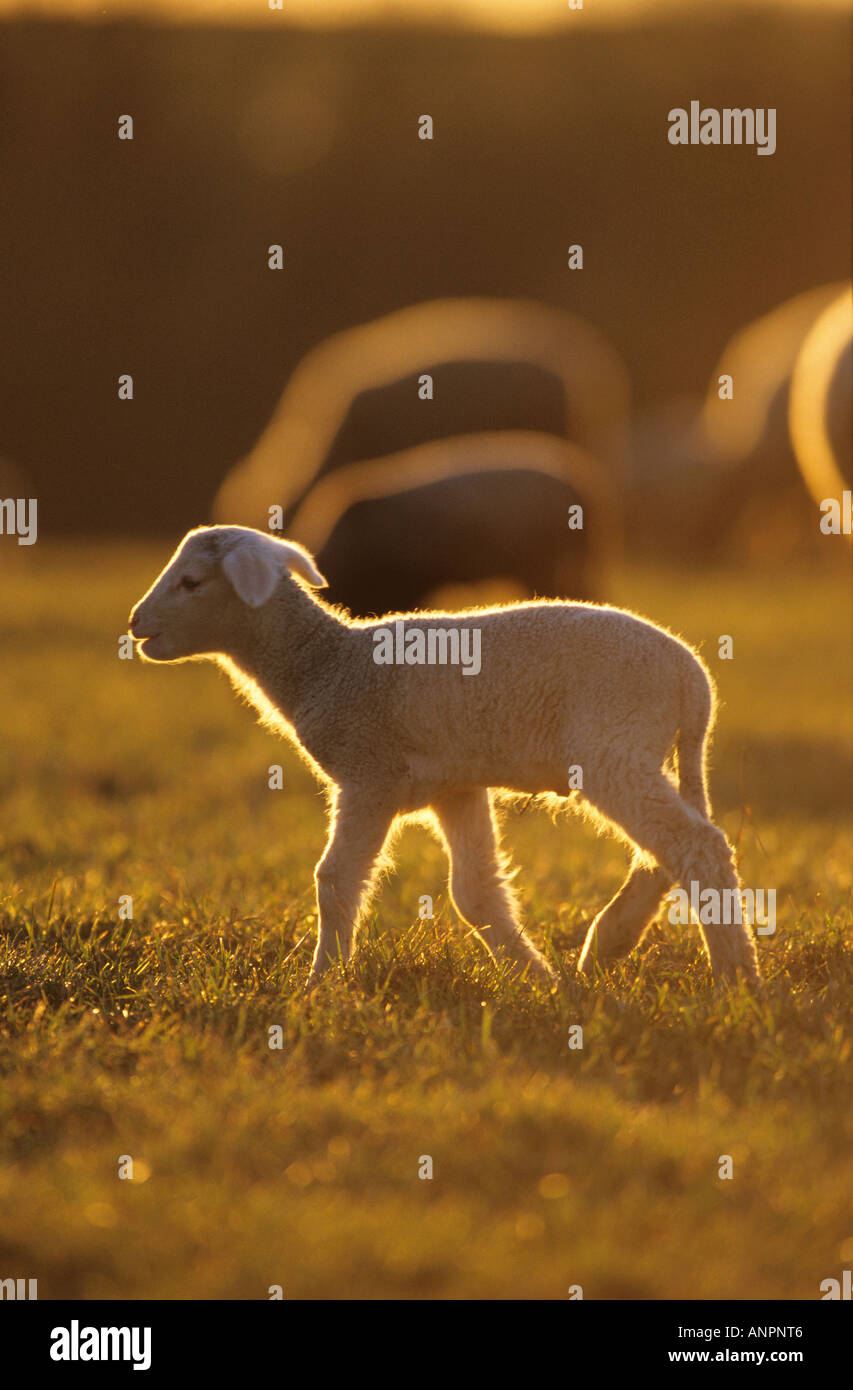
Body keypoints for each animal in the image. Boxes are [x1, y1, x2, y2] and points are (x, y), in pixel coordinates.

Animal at [128, 525, 761, 988]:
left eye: (190, 582)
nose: (135, 624)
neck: (325, 663)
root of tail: (693, 680)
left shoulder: (369, 774)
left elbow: (334, 880)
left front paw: (321, 985)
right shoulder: (455, 786)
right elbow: (475, 893)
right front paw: (536, 979)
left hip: (613, 747)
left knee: (696, 846)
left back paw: (736, 979)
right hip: (640, 753)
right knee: (666, 851)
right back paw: (608, 944)